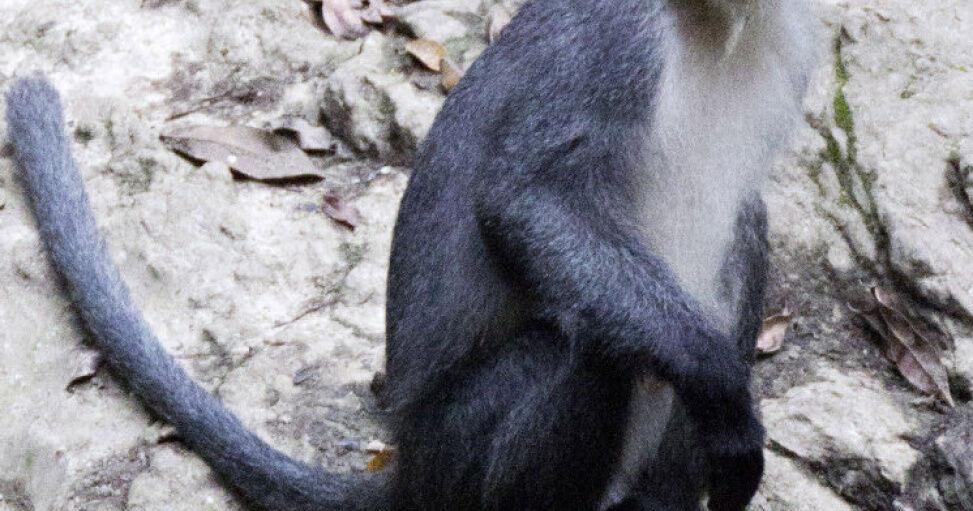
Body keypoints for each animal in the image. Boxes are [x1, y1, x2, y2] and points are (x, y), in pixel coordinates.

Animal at [5, 0, 816, 509]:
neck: (711, 23)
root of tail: (409, 471)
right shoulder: (612, 40)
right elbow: (527, 201)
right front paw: (723, 390)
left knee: (740, 238)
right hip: (460, 457)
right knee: (592, 343)